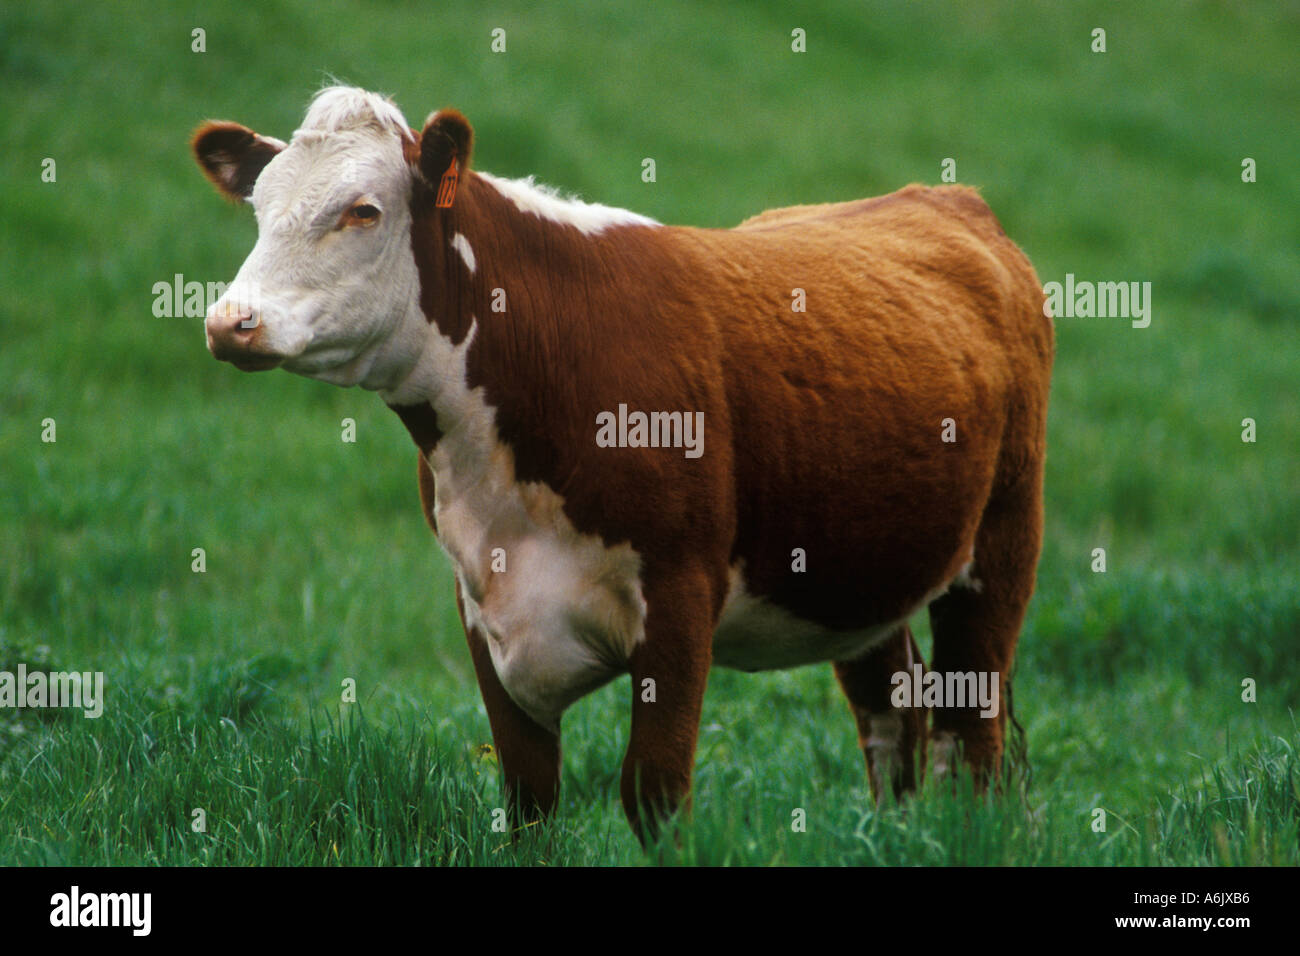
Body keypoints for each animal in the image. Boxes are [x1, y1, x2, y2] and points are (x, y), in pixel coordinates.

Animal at [192, 86, 1053, 843]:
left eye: (363, 211)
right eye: (260, 209)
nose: (232, 322)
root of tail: (942, 199)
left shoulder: (678, 598)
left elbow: (656, 795)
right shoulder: (484, 604)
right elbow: (529, 800)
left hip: (1003, 544)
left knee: (972, 739)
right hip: (858, 569)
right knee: (891, 716)